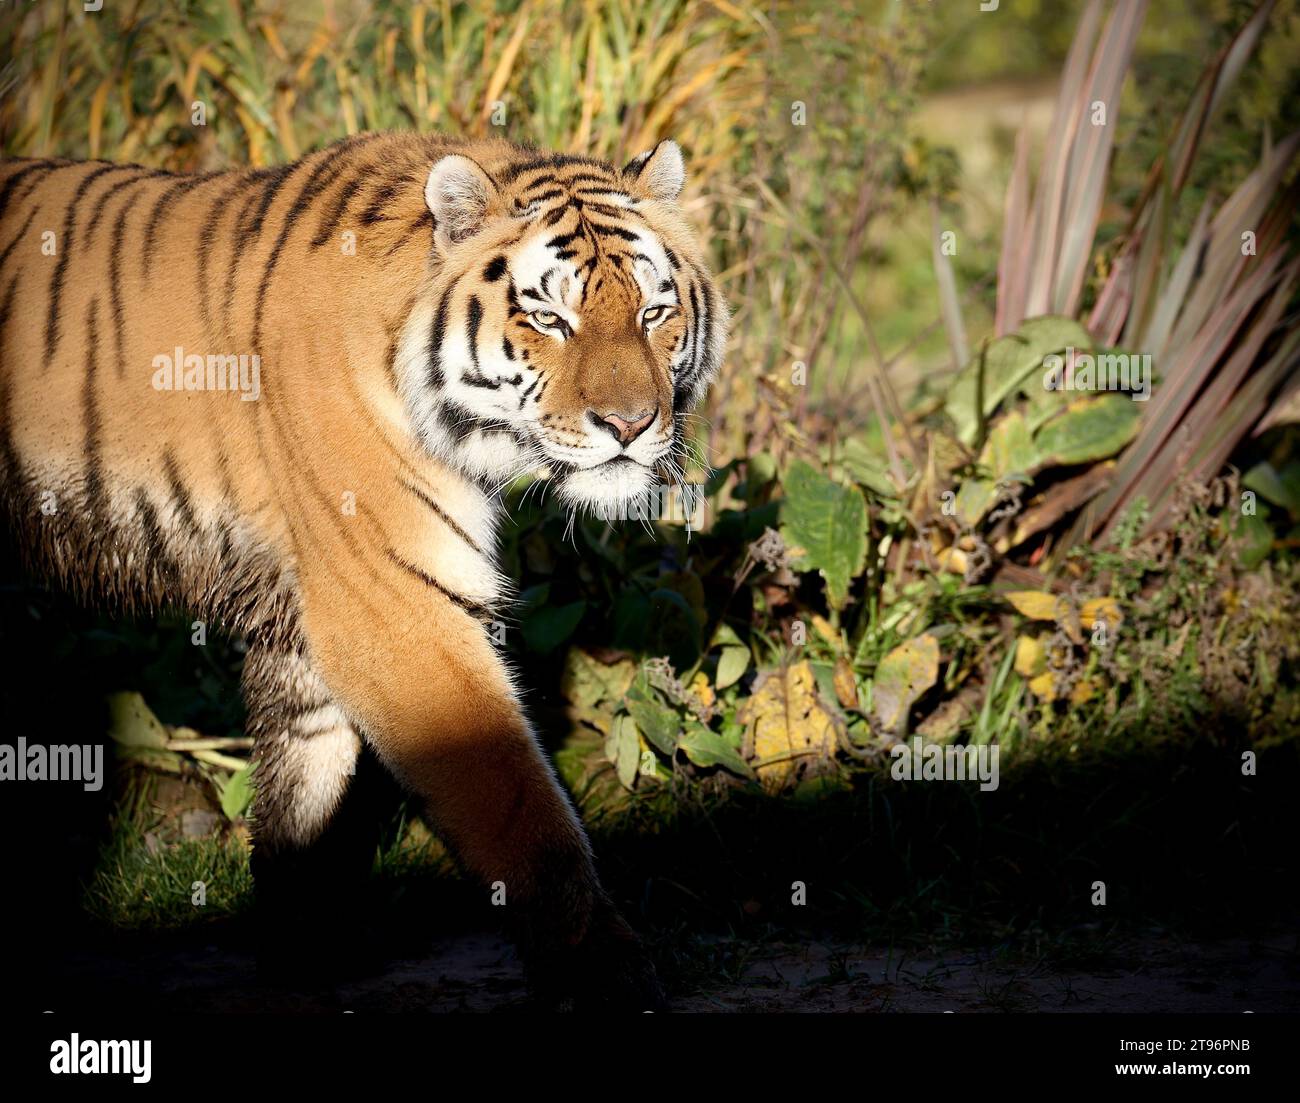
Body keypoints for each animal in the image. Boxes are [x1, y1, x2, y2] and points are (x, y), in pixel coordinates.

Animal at [0, 132, 727, 1010]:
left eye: (654, 311)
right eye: (550, 317)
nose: (630, 425)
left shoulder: (308, 630)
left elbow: (302, 801)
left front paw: (301, 956)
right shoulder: (397, 610)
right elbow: (522, 806)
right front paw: (601, 966)